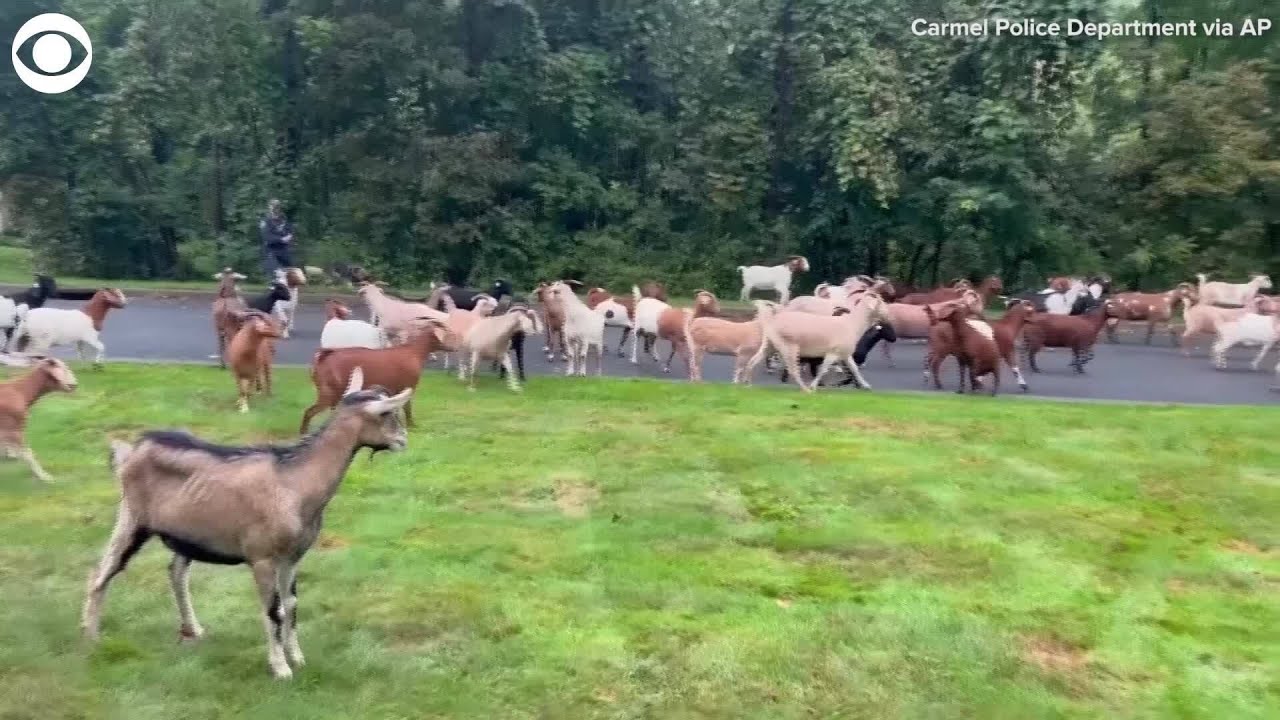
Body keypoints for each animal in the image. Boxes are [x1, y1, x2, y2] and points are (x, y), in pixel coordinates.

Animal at [81, 368, 412, 679]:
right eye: (387, 413)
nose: (403, 440)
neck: (294, 483)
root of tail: (129, 452)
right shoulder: (263, 558)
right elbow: (273, 610)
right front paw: (280, 669)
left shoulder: (292, 557)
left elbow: (291, 605)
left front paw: (298, 657)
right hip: (132, 517)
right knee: (102, 572)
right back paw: (92, 637)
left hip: (187, 533)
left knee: (176, 574)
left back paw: (193, 630)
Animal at [299, 318, 452, 433]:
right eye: (442, 335)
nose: (451, 347)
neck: (413, 351)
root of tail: (324, 358)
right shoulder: (408, 386)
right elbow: (407, 407)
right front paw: (412, 425)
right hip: (330, 393)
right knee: (309, 412)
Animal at [750, 294, 889, 392]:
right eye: (880, 303)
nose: (888, 314)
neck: (852, 323)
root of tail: (772, 320)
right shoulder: (832, 353)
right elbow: (823, 370)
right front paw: (814, 386)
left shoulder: (845, 354)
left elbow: (854, 369)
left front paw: (866, 385)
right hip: (789, 347)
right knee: (792, 369)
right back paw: (805, 389)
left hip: (770, 345)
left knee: (754, 360)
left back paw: (748, 384)